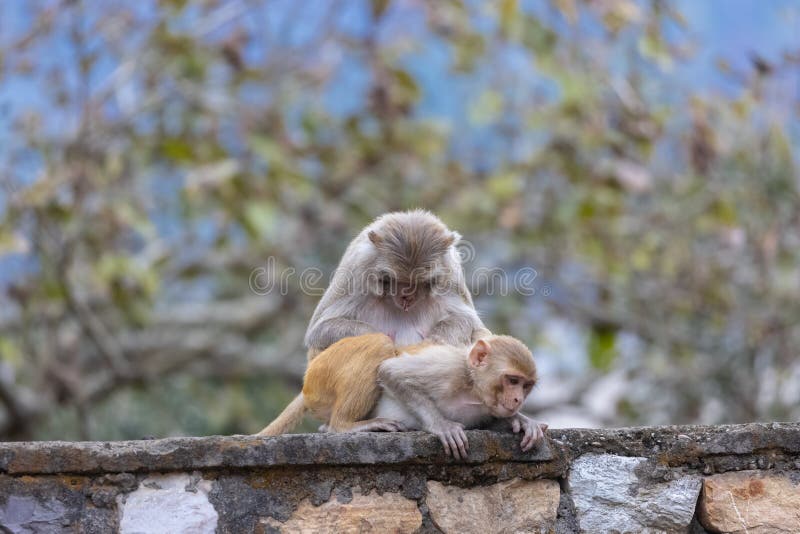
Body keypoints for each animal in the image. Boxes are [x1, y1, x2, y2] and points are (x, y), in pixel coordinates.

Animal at [258, 210, 491, 435]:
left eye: (419, 281)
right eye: (398, 280)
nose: (407, 295)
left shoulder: (451, 272)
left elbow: (469, 321)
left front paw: (437, 342)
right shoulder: (358, 269)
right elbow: (320, 329)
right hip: (319, 378)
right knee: (378, 343)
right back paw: (344, 425)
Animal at [258, 333, 547, 460]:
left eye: (526, 386)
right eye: (512, 380)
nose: (518, 400)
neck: (471, 387)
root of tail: (307, 385)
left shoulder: (487, 406)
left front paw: (521, 421)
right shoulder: (448, 368)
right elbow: (391, 371)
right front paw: (442, 426)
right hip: (322, 377)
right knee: (380, 343)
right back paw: (344, 425)